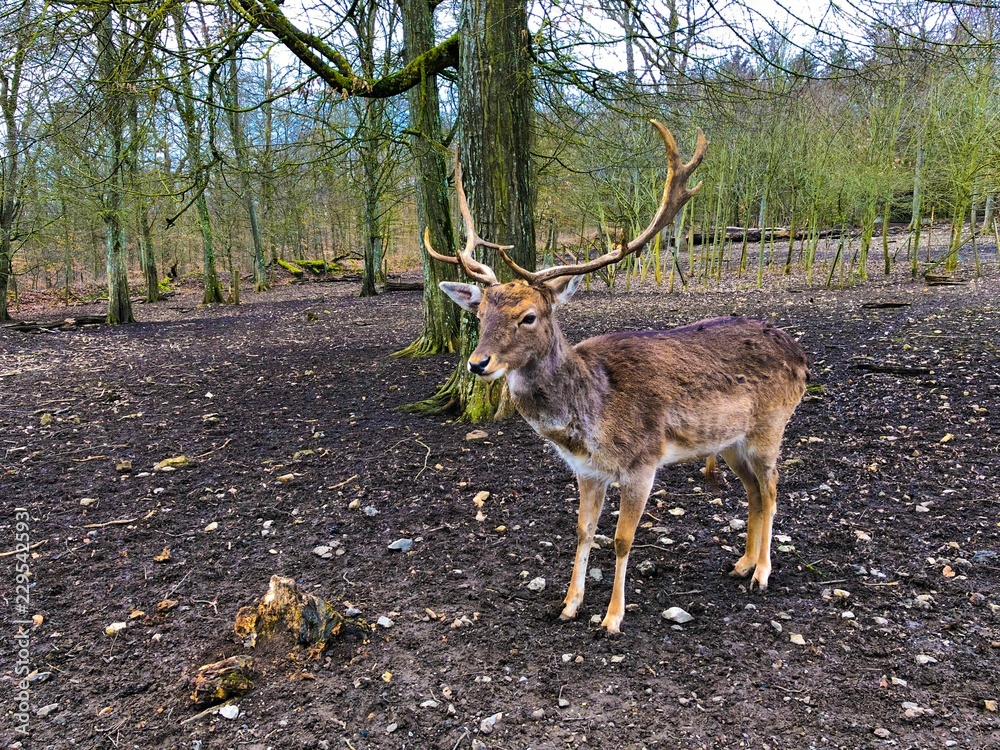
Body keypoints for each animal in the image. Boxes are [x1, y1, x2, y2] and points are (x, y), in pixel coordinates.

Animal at [427, 122, 809, 633]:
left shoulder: (643, 463)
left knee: (771, 489)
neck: (592, 419)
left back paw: (763, 573)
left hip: (771, 427)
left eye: (529, 316)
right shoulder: (587, 471)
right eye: (480, 312)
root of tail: (802, 355)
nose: (477, 363)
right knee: (751, 490)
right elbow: (583, 532)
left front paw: (611, 617)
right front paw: (569, 604)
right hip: (730, 440)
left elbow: (623, 540)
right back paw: (742, 563)